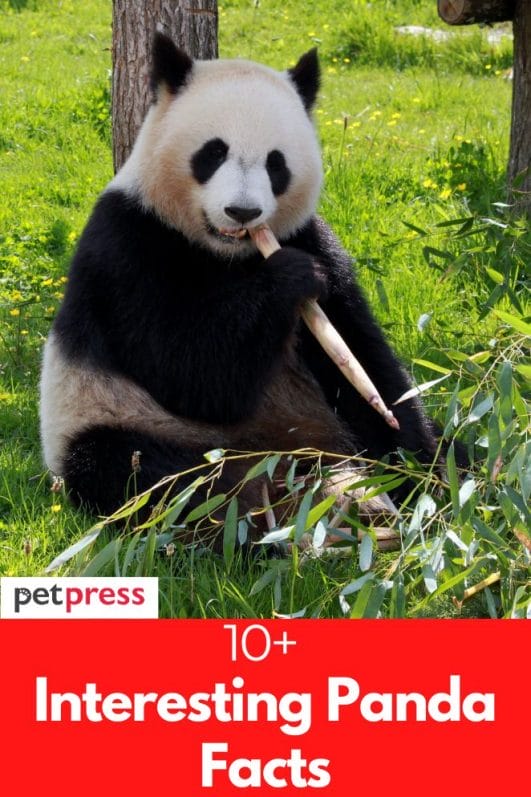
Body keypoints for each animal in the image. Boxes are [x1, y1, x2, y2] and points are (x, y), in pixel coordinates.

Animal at [40, 34, 441, 531]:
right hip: (116, 419)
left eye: (276, 164)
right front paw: (290, 278)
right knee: (147, 476)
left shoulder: (311, 237)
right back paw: (252, 520)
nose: (243, 212)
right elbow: (192, 372)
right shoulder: (128, 245)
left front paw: (417, 466)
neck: (226, 253)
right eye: (213, 153)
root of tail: (289, 458)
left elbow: (363, 360)